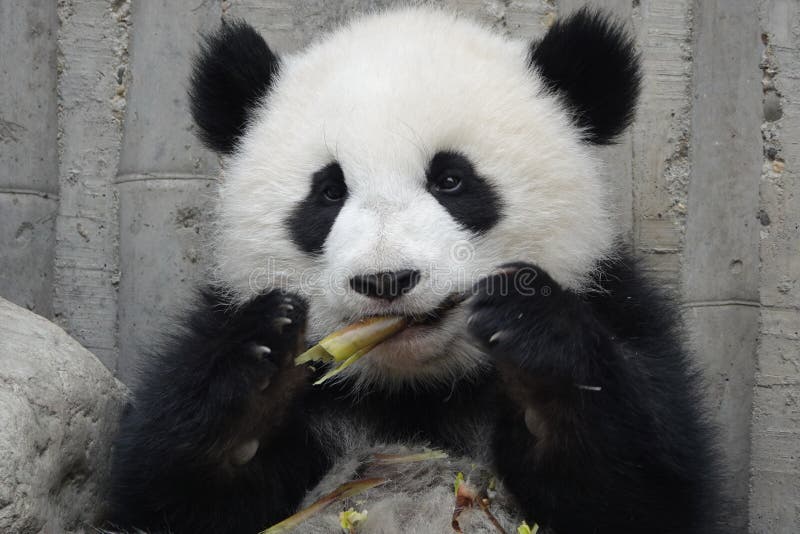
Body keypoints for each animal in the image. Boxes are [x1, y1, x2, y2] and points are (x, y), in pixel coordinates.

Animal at [107, 6, 723, 534]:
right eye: (329, 192)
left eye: (451, 180)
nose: (386, 281)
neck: (414, 388)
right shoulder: (220, 322)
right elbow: (170, 491)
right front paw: (263, 357)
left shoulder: (615, 301)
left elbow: (643, 486)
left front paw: (532, 335)